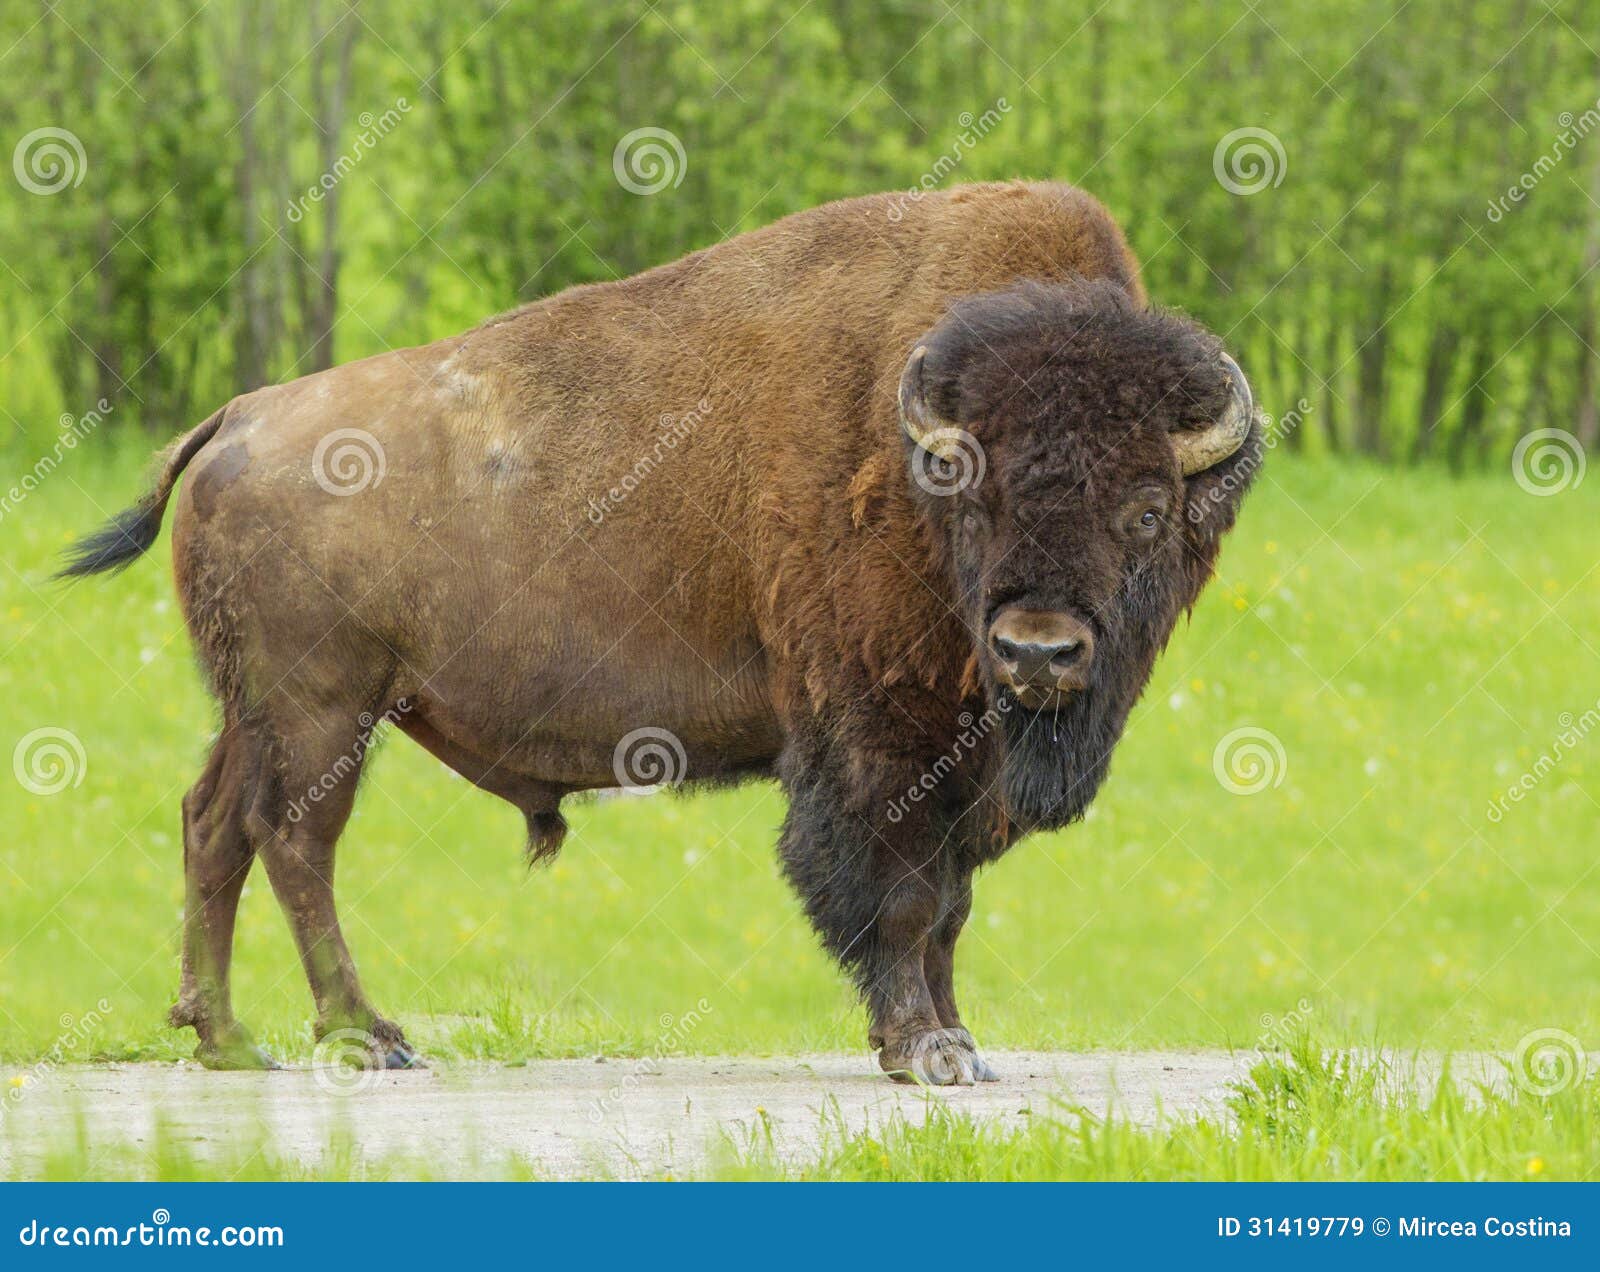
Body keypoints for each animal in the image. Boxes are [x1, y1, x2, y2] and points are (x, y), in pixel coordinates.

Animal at [61, 181, 1260, 1083]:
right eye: (976, 498)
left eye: (1146, 510)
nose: (1040, 651)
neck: (910, 461)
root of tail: (239, 417)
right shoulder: (877, 740)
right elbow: (906, 893)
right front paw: (926, 1050)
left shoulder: (963, 759)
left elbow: (951, 904)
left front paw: (951, 1040)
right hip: (324, 709)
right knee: (293, 841)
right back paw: (369, 1038)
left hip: (260, 710)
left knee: (213, 825)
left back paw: (227, 1040)